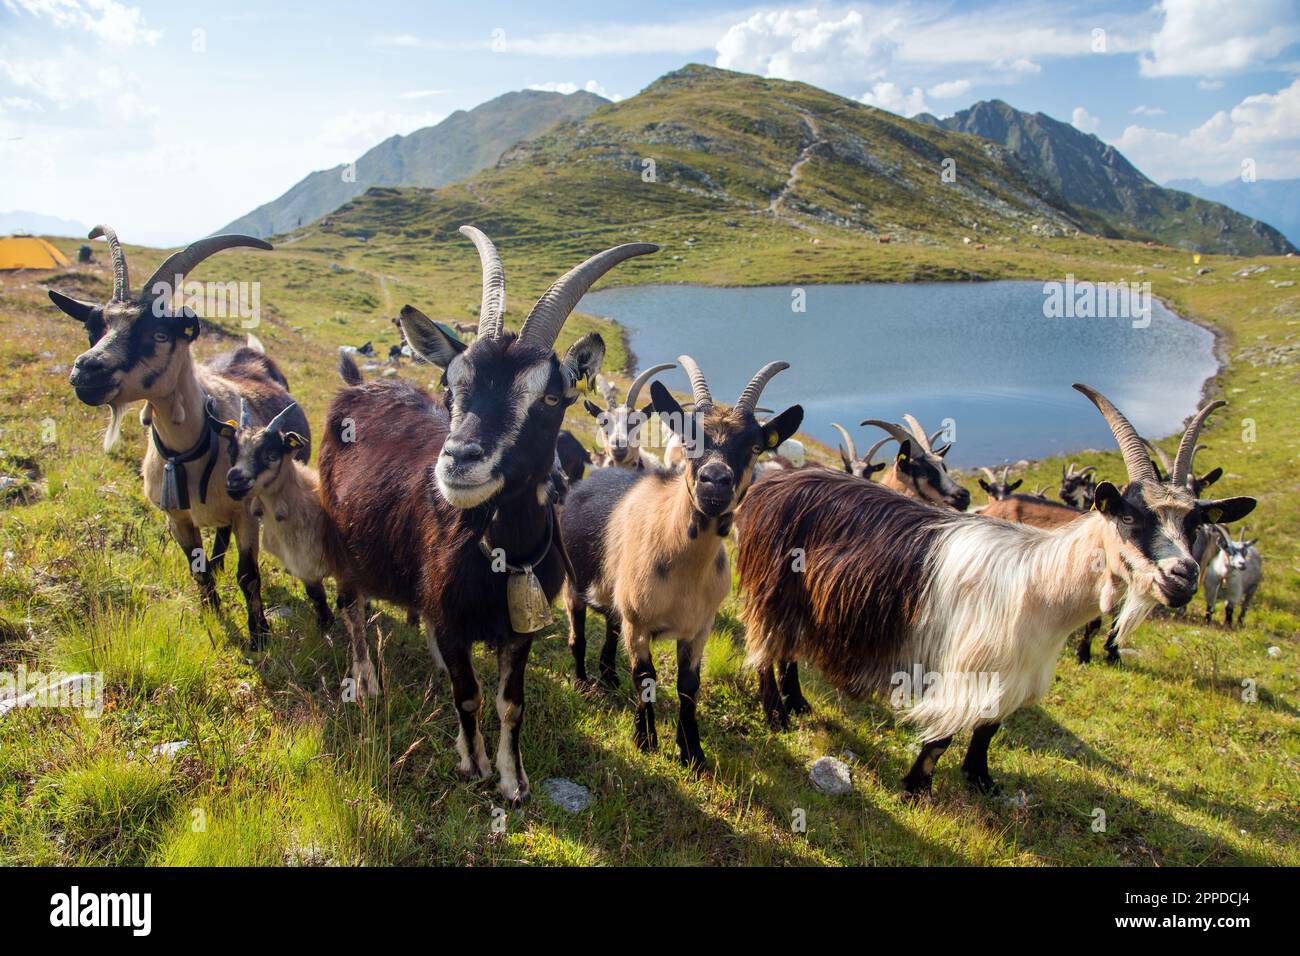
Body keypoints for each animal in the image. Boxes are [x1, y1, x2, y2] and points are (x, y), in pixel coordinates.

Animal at [48, 226, 305, 647]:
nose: (85, 372)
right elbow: (197, 570)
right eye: (94, 328)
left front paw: (259, 635)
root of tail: (249, 353)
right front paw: (213, 614)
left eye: (158, 333)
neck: (189, 451)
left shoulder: (246, 513)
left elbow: (249, 575)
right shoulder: (176, 519)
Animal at [217, 399, 333, 630]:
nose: (235, 480)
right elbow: (315, 594)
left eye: (271, 455)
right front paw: (325, 623)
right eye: (232, 452)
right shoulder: (302, 564)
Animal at [318, 225, 655, 804]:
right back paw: (364, 682)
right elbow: (468, 695)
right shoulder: (454, 622)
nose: (458, 459)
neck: (502, 553)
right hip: (345, 544)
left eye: (550, 397)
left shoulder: (519, 633)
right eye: (449, 385)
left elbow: (511, 704)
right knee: (353, 610)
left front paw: (513, 779)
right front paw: (472, 762)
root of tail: (357, 384)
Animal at [560, 356, 802, 767]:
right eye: (688, 438)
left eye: (755, 445)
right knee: (578, 634)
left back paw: (608, 675)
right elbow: (645, 678)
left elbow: (689, 686)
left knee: (609, 627)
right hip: (573, 582)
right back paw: (582, 680)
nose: (714, 480)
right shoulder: (639, 624)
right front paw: (645, 741)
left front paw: (693, 752)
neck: (683, 570)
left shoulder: (699, 628)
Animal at [735, 385, 1254, 796]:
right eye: (1129, 516)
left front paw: (980, 779)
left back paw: (798, 702)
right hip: (770, 589)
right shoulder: (964, 664)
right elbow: (941, 736)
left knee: (788, 648)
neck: (1039, 582)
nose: (1182, 577)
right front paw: (916, 786)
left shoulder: (1017, 671)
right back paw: (776, 713)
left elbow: (989, 727)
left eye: (1195, 523)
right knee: (765, 648)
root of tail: (773, 485)